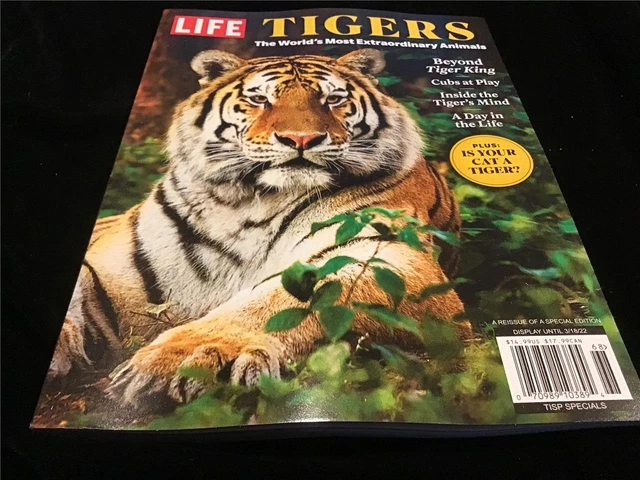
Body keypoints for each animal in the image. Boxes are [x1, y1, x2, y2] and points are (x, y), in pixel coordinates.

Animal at [45, 48, 466, 411]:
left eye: (332, 100)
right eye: (260, 99)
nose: (301, 140)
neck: (249, 203)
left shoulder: (390, 254)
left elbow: (286, 299)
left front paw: (191, 356)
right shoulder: (109, 263)